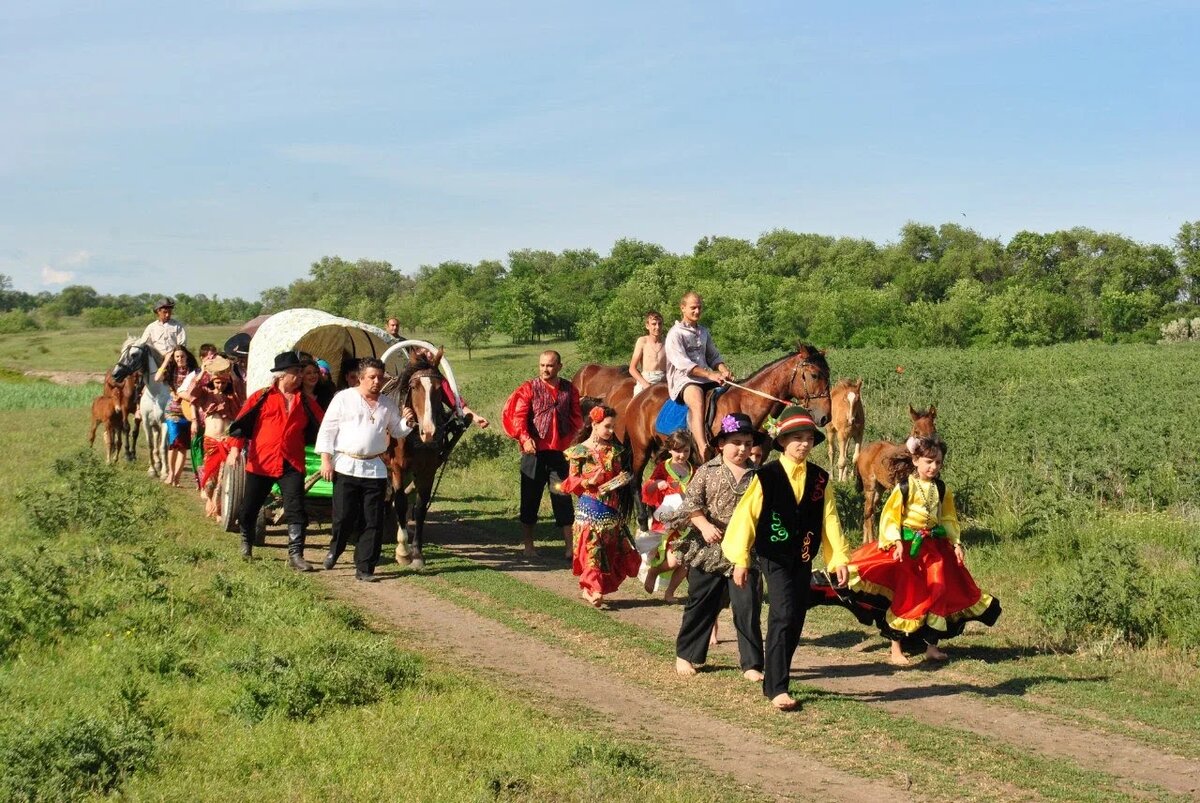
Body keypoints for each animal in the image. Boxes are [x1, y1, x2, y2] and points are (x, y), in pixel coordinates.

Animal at [111, 336, 172, 480]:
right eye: (122, 352)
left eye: (134, 354)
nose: (115, 374)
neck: (155, 394)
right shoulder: (146, 421)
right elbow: (150, 444)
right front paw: (152, 470)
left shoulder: (165, 422)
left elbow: (163, 447)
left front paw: (165, 473)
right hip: (154, 424)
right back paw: (158, 463)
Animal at [384, 348, 458, 568]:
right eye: (414, 386)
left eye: (440, 387)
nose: (430, 432)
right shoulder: (397, 467)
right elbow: (400, 503)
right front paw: (403, 551)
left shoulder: (427, 470)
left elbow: (419, 507)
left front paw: (417, 553)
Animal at [619, 343, 835, 482]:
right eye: (814, 375)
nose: (826, 416)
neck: (747, 405)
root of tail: (639, 397)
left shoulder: (756, 460)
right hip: (641, 450)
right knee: (636, 483)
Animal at [854, 403, 936, 542]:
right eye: (916, 431)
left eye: (934, 430)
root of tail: (863, 452)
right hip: (869, 485)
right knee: (868, 511)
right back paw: (870, 541)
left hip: (879, 489)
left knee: (869, 511)